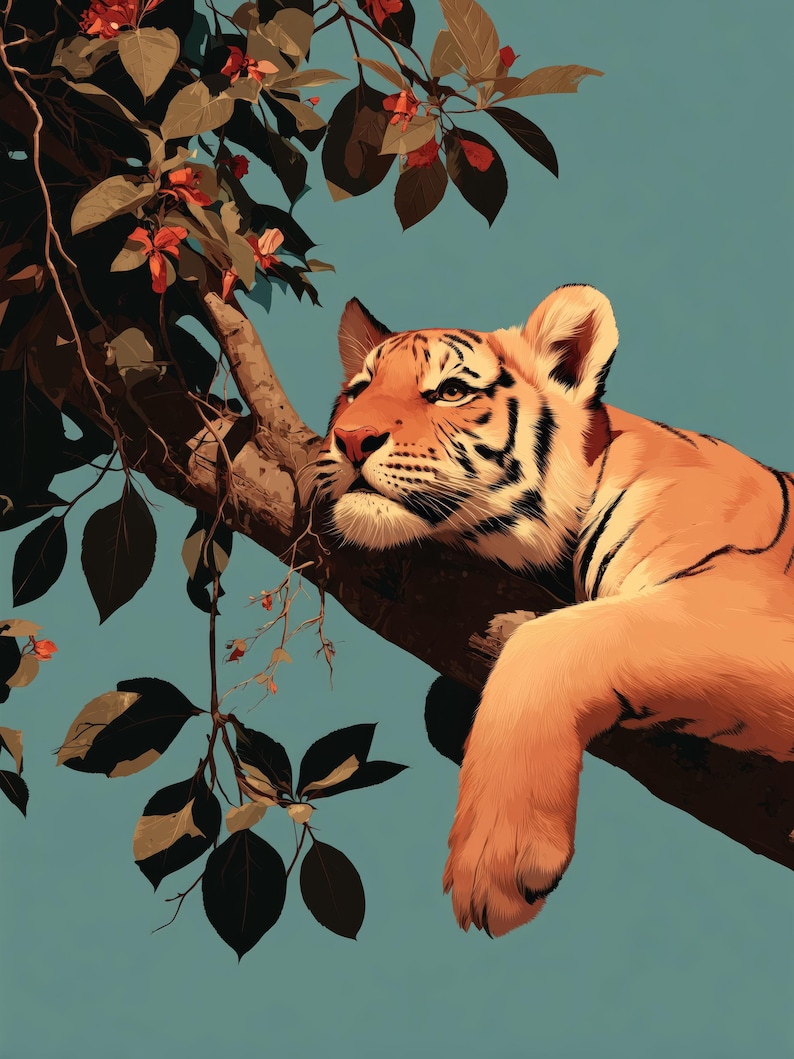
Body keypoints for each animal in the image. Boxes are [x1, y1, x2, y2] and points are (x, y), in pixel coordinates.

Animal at [310, 283, 794, 938]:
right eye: (358, 390)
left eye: (451, 391)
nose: (351, 438)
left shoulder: (736, 605)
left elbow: (552, 643)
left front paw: (498, 859)